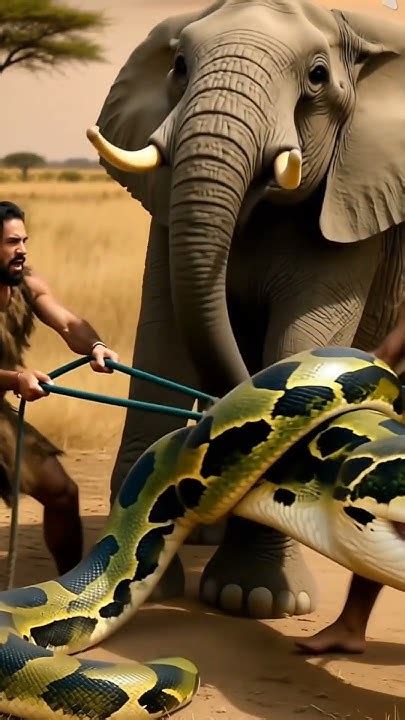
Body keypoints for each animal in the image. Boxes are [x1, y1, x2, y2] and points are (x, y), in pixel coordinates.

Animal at [87, 0, 405, 620]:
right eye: (179, 66)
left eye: (317, 78)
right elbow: (162, 335)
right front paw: (154, 580)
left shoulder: (356, 200)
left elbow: (303, 335)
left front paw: (255, 599)